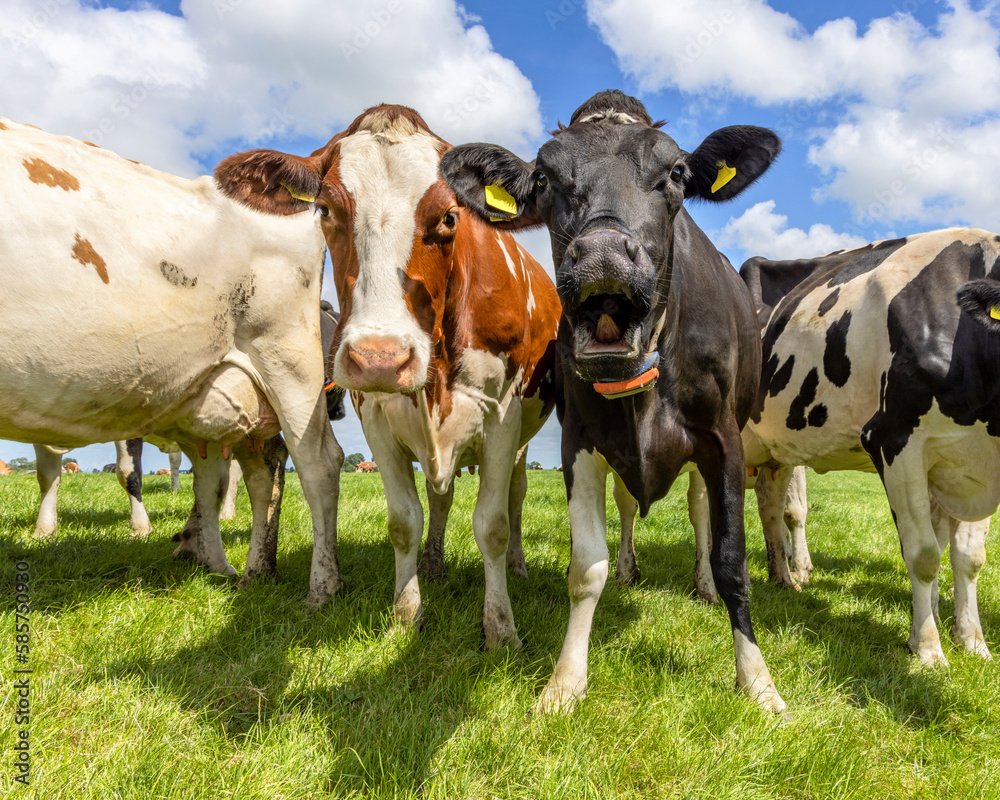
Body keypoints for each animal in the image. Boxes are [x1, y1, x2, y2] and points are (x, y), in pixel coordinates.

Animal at [0, 118, 343, 605]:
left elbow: (128, 474)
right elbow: (52, 474)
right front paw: (45, 530)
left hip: (288, 367)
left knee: (317, 465)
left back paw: (321, 588)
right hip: (210, 393)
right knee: (244, 472)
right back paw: (231, 566)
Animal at [222, 104, 561, 649]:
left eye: (449, 217)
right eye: (325, 210)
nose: (379, 358)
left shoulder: (501, 418)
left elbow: (493, 525)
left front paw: (501, 628)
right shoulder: (378, 418)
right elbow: (405, 521)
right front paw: (407, 612)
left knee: (515, 496)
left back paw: (518, 568)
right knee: (440, 499)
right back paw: (435, 564)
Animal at [441, 90, 785, 713]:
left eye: (676, 173)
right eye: (545, 177)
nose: (604, 256)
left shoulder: (723, 439)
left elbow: (732, 561)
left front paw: (758, 680)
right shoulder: (580, 443)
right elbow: (585, 569)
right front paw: (564, 681)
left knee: (700, 513)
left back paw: (700, 586)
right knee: (628, 510)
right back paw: (629, 569)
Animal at [740, 228, 1000, 665]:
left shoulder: (974, 463)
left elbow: (969, 558)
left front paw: (973, 642)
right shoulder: (893, 440)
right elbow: (924, 555)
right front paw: (928, 649)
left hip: (776, 445)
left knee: (771, 503)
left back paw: (784, 579)